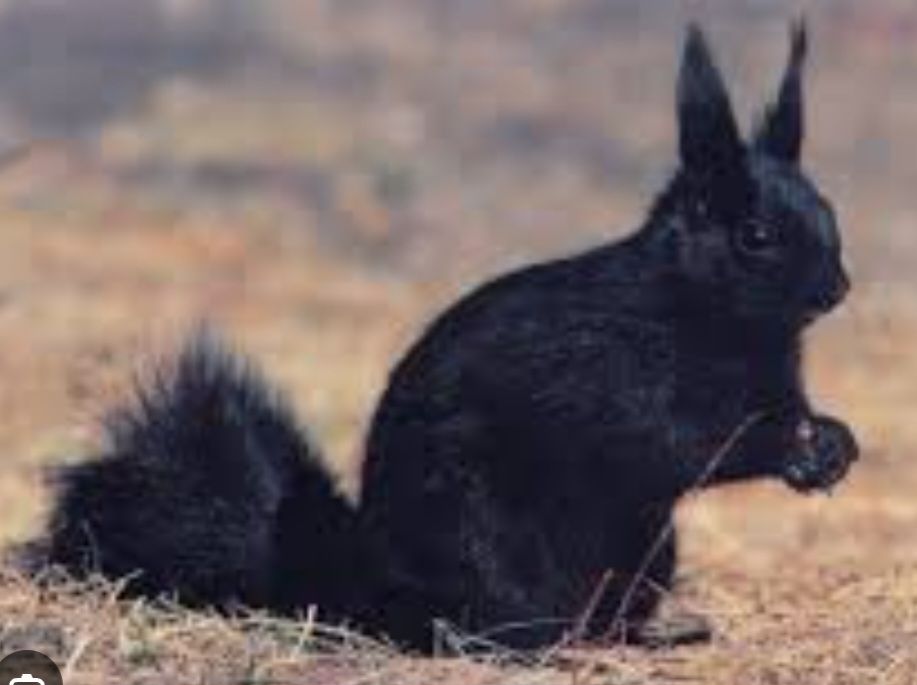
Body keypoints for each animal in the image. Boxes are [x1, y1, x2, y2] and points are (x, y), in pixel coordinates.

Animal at [25, 23, 858, 652]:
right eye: (754, 236)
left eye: (828, 212)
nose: (836, 289)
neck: (716, 318)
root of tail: (366, 585)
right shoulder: (618, 374)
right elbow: (679, 439)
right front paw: (788, 446)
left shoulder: (774, 376)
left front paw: (832, 442)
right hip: (489, 541)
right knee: (490, 625)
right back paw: (533, 643)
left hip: (648, 549)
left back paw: (648, 635)